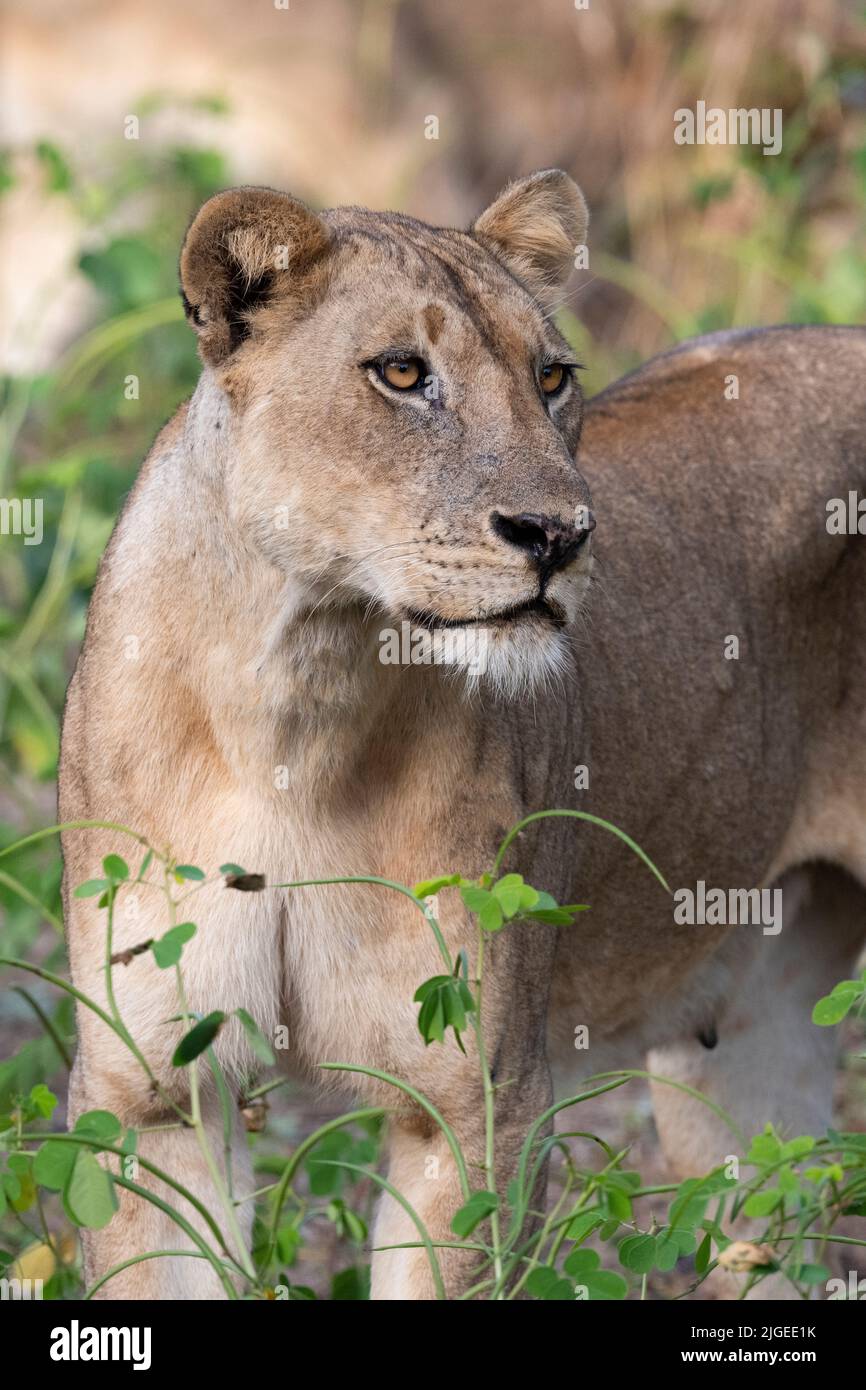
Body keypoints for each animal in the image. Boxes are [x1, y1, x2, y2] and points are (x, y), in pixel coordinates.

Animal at [58, 170, 866, 1300]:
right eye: (403, 373)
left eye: (551, 376)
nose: (559, 536)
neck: (294, 698)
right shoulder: (151, 1097)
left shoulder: (476, 1103)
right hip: (745, 1058)